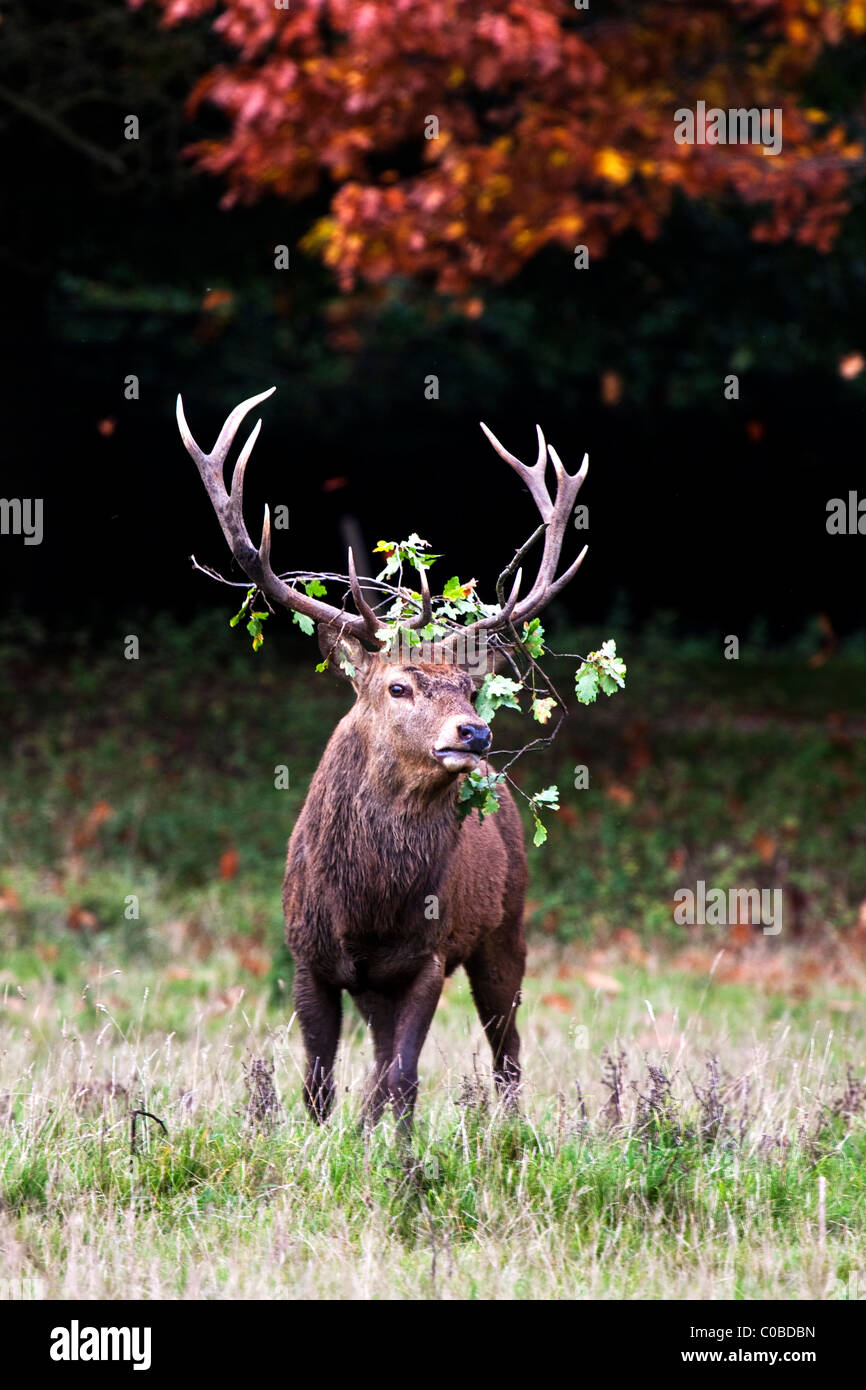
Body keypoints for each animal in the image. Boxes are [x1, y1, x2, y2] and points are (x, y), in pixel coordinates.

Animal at [176, 387, 588, 1130]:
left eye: (471, 687)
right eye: (398, 686)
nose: (474, 733)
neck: (363, 908)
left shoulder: (426, 955)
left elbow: (401, 1077)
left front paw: (388, 1145)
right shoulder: (307, 957)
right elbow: (319, 1080)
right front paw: (325, 1137)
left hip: (506, 925)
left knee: (506, 1048)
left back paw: (510, 1128)